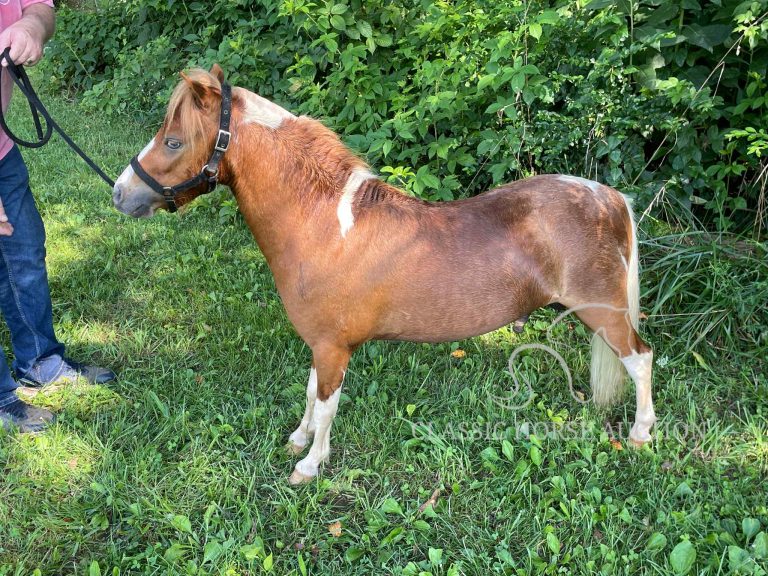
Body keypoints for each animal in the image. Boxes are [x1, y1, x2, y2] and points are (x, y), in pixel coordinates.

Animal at [112, 65, 656, 485]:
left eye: (174, 140)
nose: (120, 193)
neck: (324, 224)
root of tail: (609, 197)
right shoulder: (321, 341)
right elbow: (311, 392)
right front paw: (298, 439)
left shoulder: (333, 347)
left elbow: (327, 404)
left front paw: (310, 465)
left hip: (604, 314)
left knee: (640, 359)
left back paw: (640, 434)